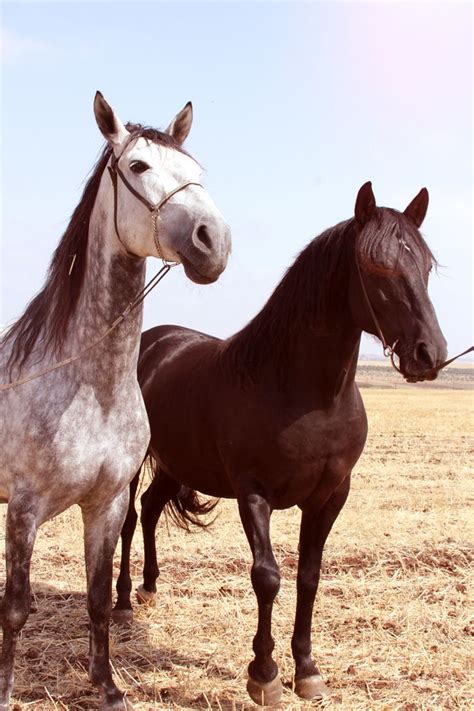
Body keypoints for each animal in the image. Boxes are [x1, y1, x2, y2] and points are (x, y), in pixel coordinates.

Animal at [0, 91, 231, 710]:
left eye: (198, 171)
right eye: (138, 166)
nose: (214, 242)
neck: (91, 386)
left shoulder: (105, 504)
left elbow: (99, 599)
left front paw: (106, 685)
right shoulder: (24, 508)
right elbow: (15, 608)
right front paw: (5, 691)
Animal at [113, 182, 447, 706]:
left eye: (426, 266)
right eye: (376, 265)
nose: (429, 354)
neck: (304, 391)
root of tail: (154, 341)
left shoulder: (330, 496)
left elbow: (309, 576)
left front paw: (307, 670)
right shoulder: (254, 494)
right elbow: (267, 576)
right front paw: (264, 673)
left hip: (176, 462)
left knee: (149, 509)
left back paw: (150, 588)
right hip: (137, 462)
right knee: (128, 519)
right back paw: (124, 602)